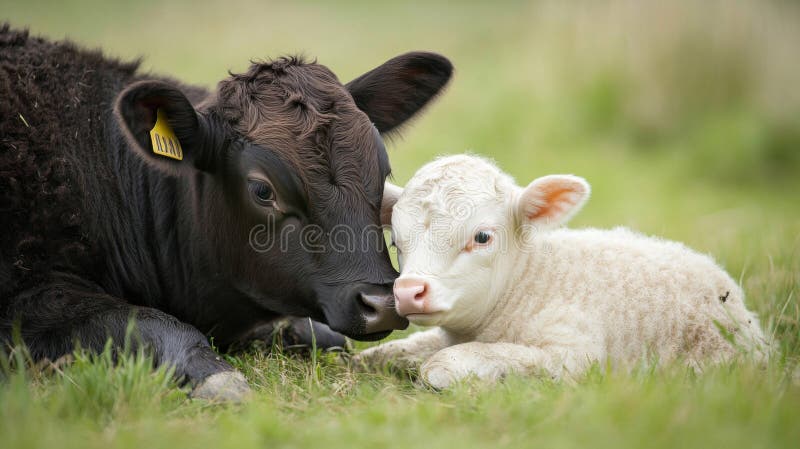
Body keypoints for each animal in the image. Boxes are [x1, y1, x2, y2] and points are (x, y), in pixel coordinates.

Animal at [0, 24, 452, 400]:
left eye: (383, 170)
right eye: (262, 189)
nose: (382, 303)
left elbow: (322, 334)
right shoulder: (29, 296)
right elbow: (144, 322)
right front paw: (216, 377)